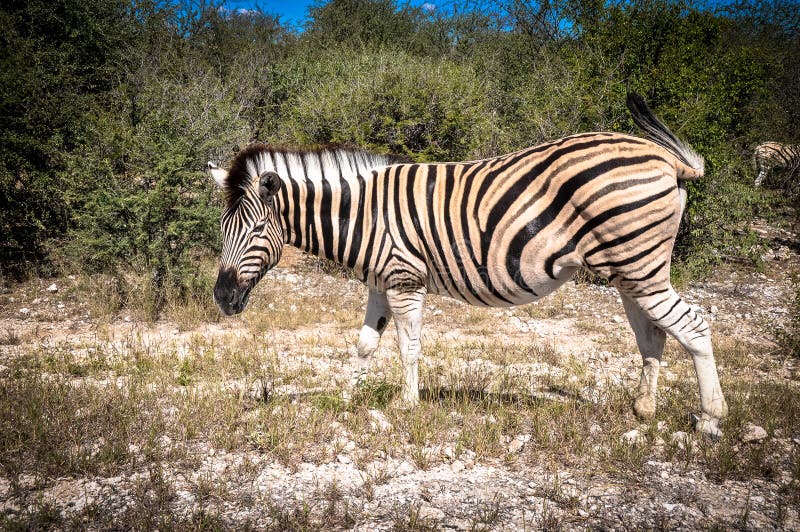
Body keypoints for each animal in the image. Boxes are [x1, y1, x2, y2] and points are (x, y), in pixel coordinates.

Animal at [208, 93, 728, 437]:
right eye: (222, 230)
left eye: (257, 230)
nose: (222, 298)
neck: (364, 214)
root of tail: (666, 160)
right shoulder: (379, 282)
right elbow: (364, 344)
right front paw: (348, 397)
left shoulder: (405, 279)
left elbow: (408, 347)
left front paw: (408, 404)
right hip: (630, 272)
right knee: (654, 334)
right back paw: (644, 409)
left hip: (639, 265)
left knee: (694, 325)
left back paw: (709, 419)